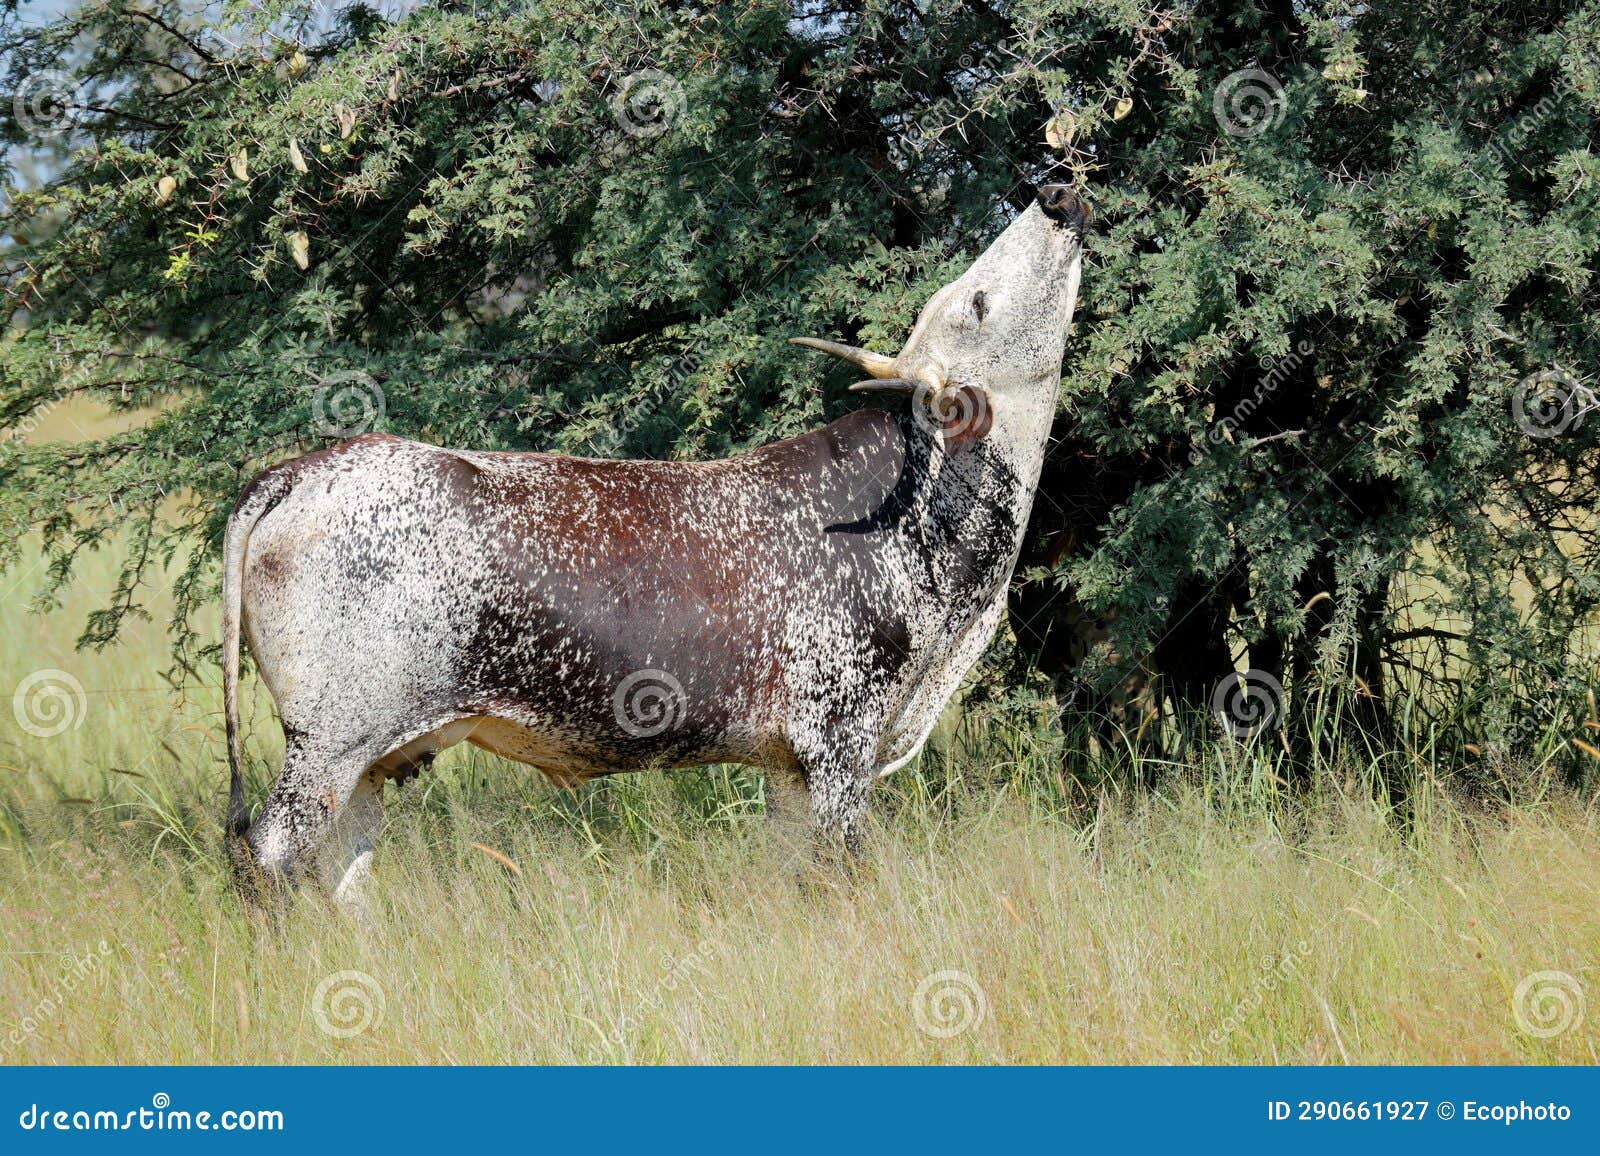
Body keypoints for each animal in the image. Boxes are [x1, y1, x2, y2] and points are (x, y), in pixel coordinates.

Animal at [222, 184, 1089, 905]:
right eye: (978, 302)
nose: (1057, 195)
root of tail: (302, 470)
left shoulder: (788, 766)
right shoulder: (838, 739)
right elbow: (838, 871)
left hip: (366, 761)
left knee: (345, 873)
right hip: (328, 743)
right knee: (265, 856)